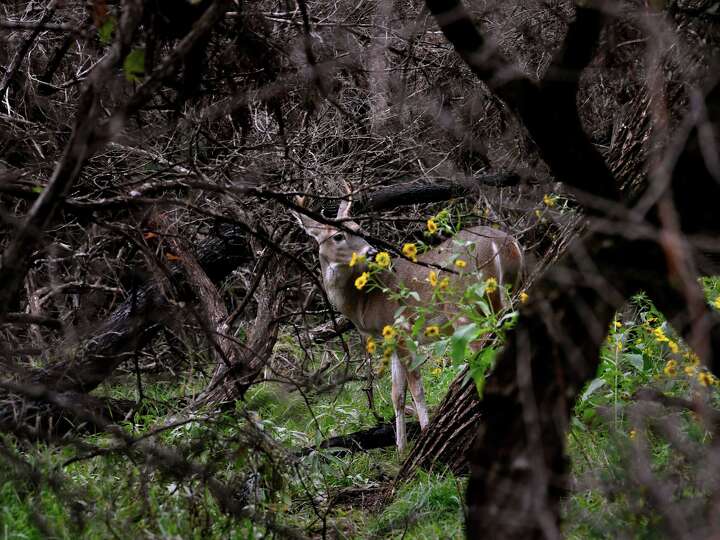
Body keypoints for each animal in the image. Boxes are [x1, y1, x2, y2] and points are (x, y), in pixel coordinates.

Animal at [294, 194, 524, 453]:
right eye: (338, 236)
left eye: (357, 228)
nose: (372, 252)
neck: (363, 301)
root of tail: (506, 243)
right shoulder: (390, 339)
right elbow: (397, 394)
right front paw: (400, 449)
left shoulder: (401, 328)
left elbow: (417, 388)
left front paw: (424, 432)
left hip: (465, 307)